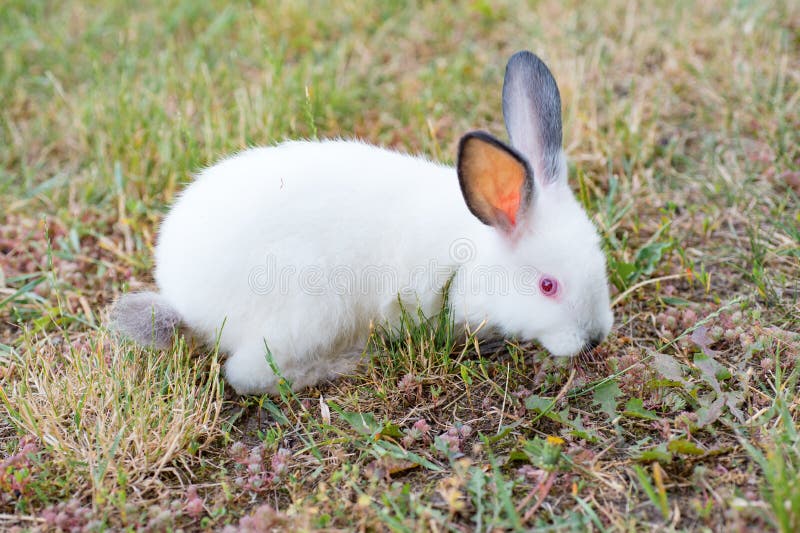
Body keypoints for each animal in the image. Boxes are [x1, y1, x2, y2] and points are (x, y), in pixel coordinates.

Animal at [111, 51, 613, 395]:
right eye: (548, 286)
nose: (593, 339)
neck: (475, 255)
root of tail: (184, 304)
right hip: (309, 310)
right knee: (247, 375)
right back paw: (342, 363)